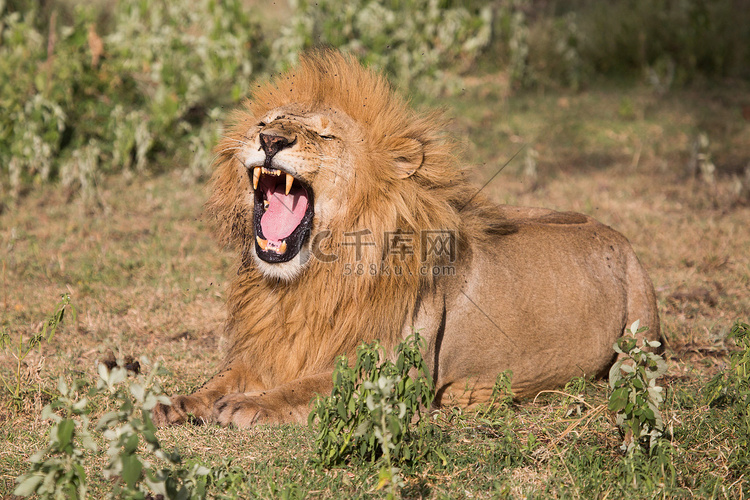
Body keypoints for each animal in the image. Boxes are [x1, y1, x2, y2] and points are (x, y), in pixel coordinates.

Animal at [152, 50, 660, 428]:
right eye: (265, 122)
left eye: (324, 135)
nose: (271, 140)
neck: (311, 278)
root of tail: (613, 232)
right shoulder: (274, 343)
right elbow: (226, 376)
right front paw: (179, 402)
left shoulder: (396, 374)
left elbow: (309, 386)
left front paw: (250, 405)